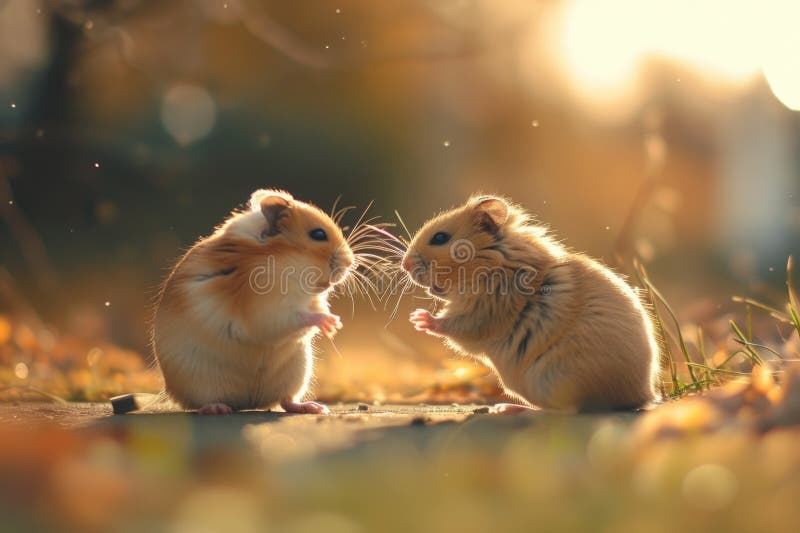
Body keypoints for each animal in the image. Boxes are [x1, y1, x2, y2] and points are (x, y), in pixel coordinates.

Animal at [152, 189, 354, 415]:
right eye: (318, 235)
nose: (350, 263)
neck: (283, 260)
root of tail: (249, 403)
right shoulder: (265, 311)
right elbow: (296, 318)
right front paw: (332, 324)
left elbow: (312, 312)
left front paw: (335, 322)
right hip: (199, 381)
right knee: (203, 403)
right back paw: (217, 408)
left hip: (297, 371)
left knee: (286, 400)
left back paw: (315, 408)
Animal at [402, 195, 660, 412]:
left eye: (440, 237)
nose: (404, 265)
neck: (494, 263)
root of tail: (643, 397)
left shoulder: (486, 311)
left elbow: (454, 328)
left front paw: (418, 318)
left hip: (556, 380)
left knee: (561, 411)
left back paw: (506, 408)